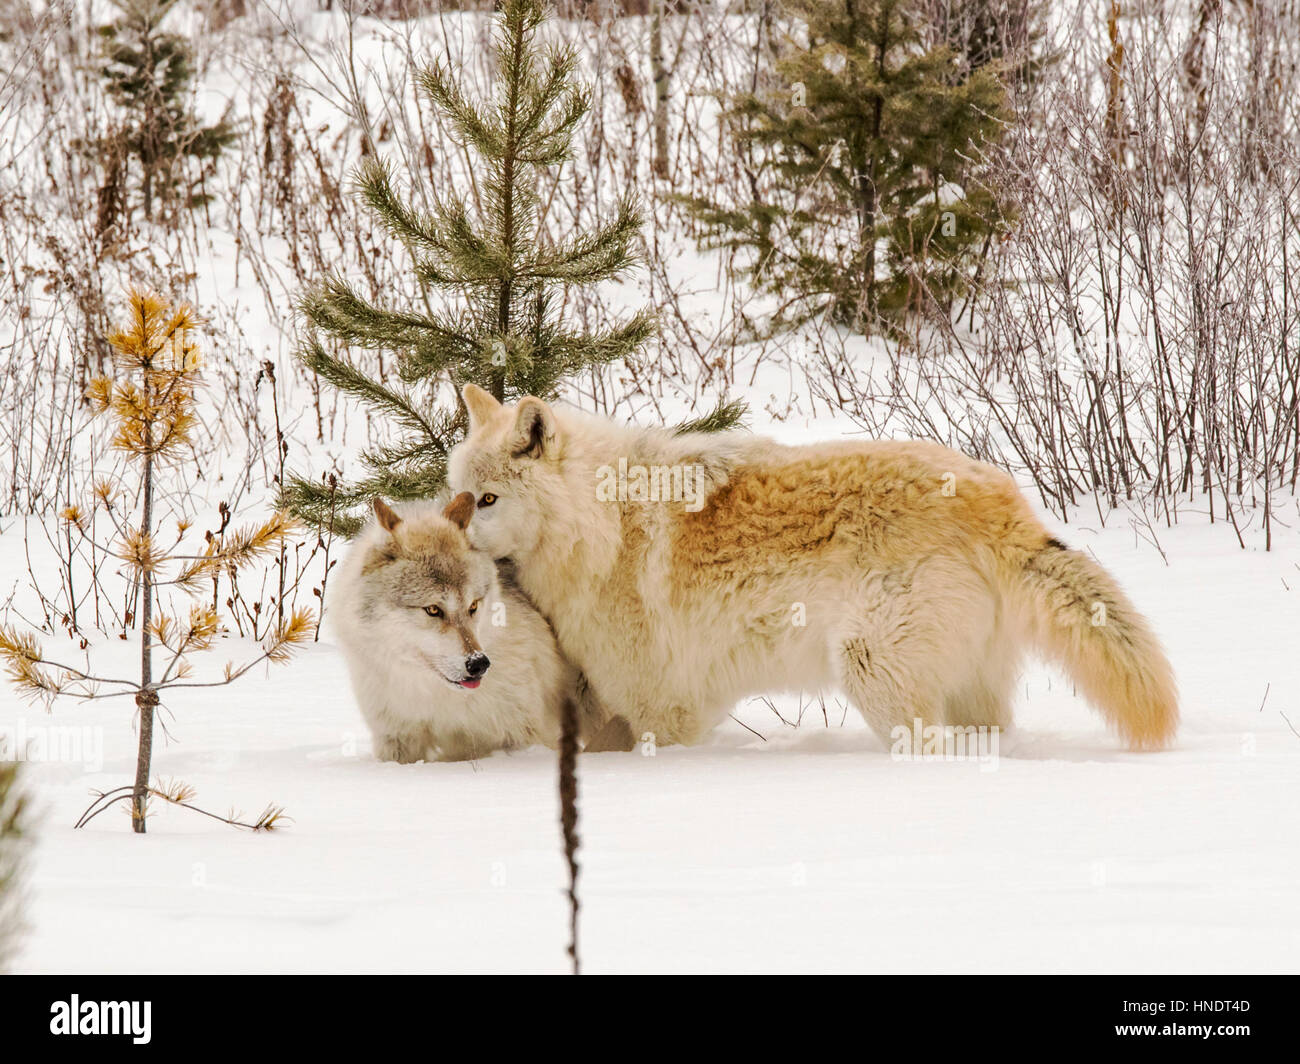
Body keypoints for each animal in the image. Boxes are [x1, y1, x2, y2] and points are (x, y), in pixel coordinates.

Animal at [329, 492, 621, 762]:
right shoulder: (397, 740)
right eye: (433, 610)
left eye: (473, 606)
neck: (436, 694)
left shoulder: (522, 737)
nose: (479, 663)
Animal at [447, 384, 1179, 751]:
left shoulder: (663, 708)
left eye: (488, 500)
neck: (600, 526)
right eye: (459, 494)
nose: (447, 543)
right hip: (969, 692)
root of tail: (1002, 505)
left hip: (873, 671)